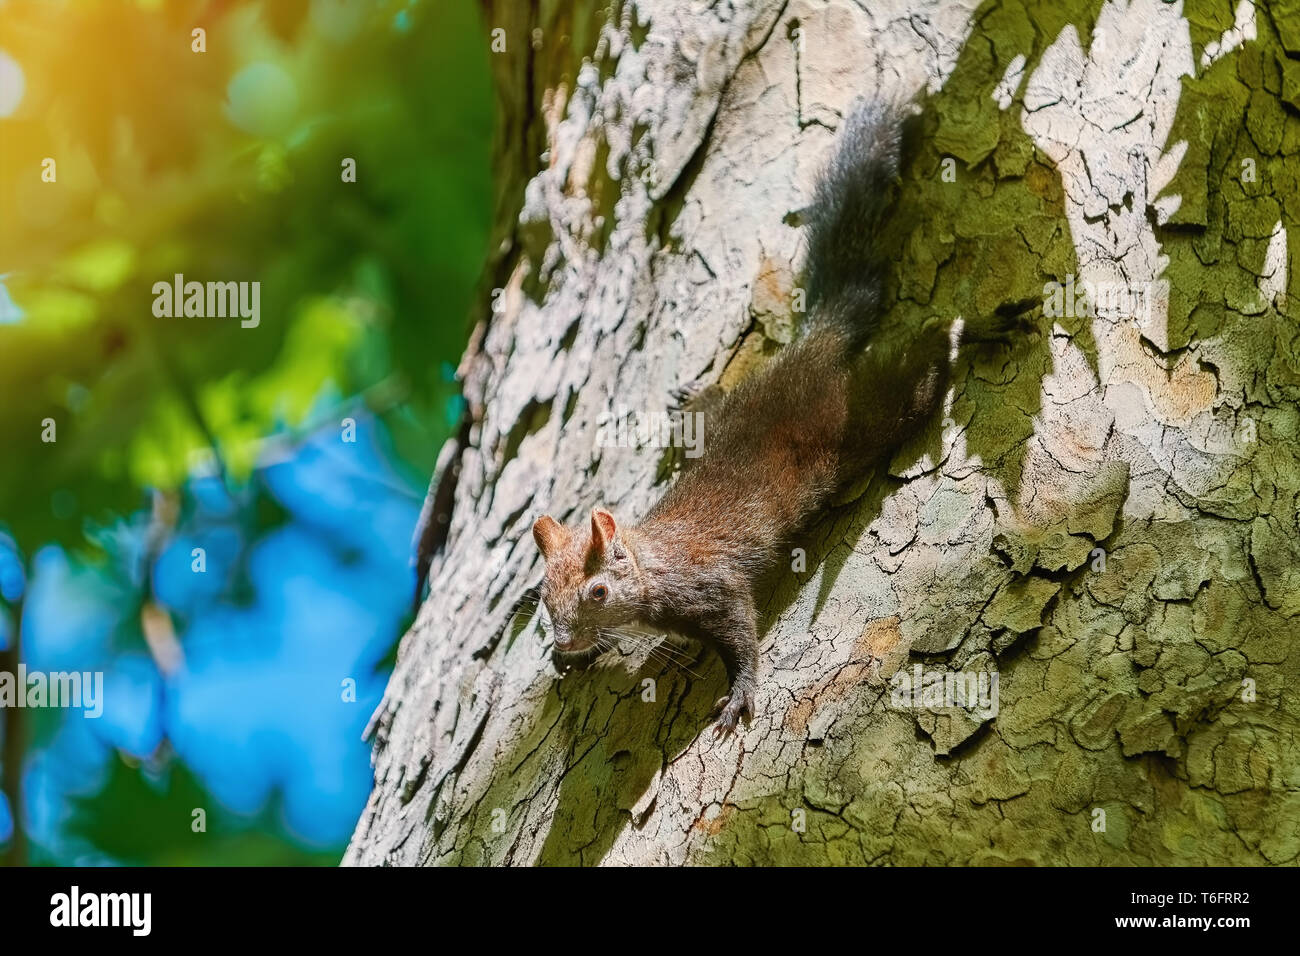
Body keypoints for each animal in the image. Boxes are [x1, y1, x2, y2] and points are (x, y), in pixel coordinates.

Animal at [531, 98, 1022, 737]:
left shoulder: (712, 588)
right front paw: (571, 661)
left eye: (596, 592)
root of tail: (809, 350)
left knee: (927, 360)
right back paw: (690, 402)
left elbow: (742, 634)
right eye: (543, 596)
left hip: (866, 412)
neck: (653, 564)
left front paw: (738, 692)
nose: (564, 642)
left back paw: (971, 330)